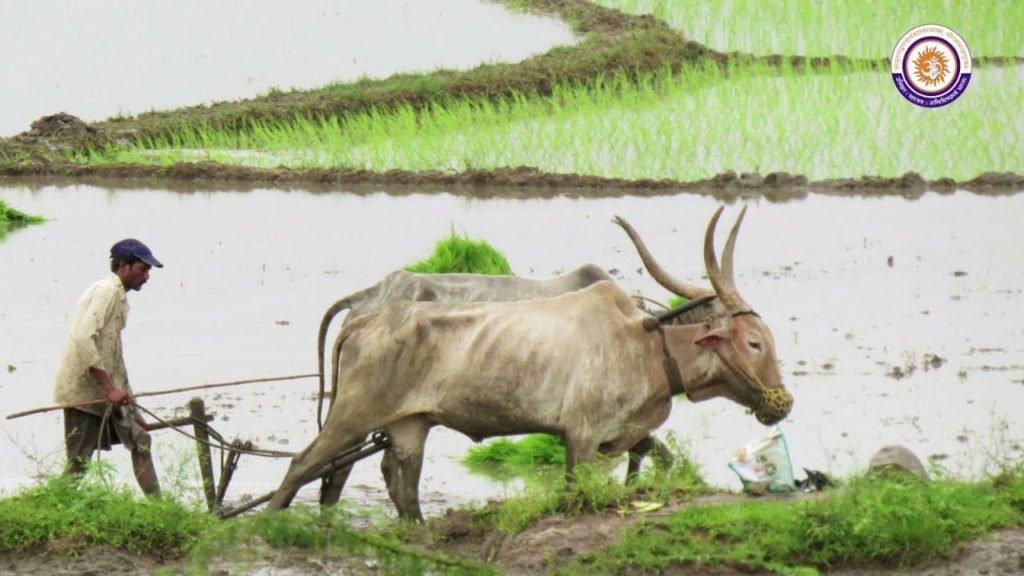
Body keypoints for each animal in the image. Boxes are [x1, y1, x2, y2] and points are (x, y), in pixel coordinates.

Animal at [270, 206, 793, 519]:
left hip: (409, 425)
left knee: (399, 487)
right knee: (308, 466)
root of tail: (368, 311)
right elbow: (577, 490)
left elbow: (651, 456)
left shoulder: (622, 433)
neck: (646, 342)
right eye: (754, 343)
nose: (783, 404)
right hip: (353, 415)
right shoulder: (581, 436)